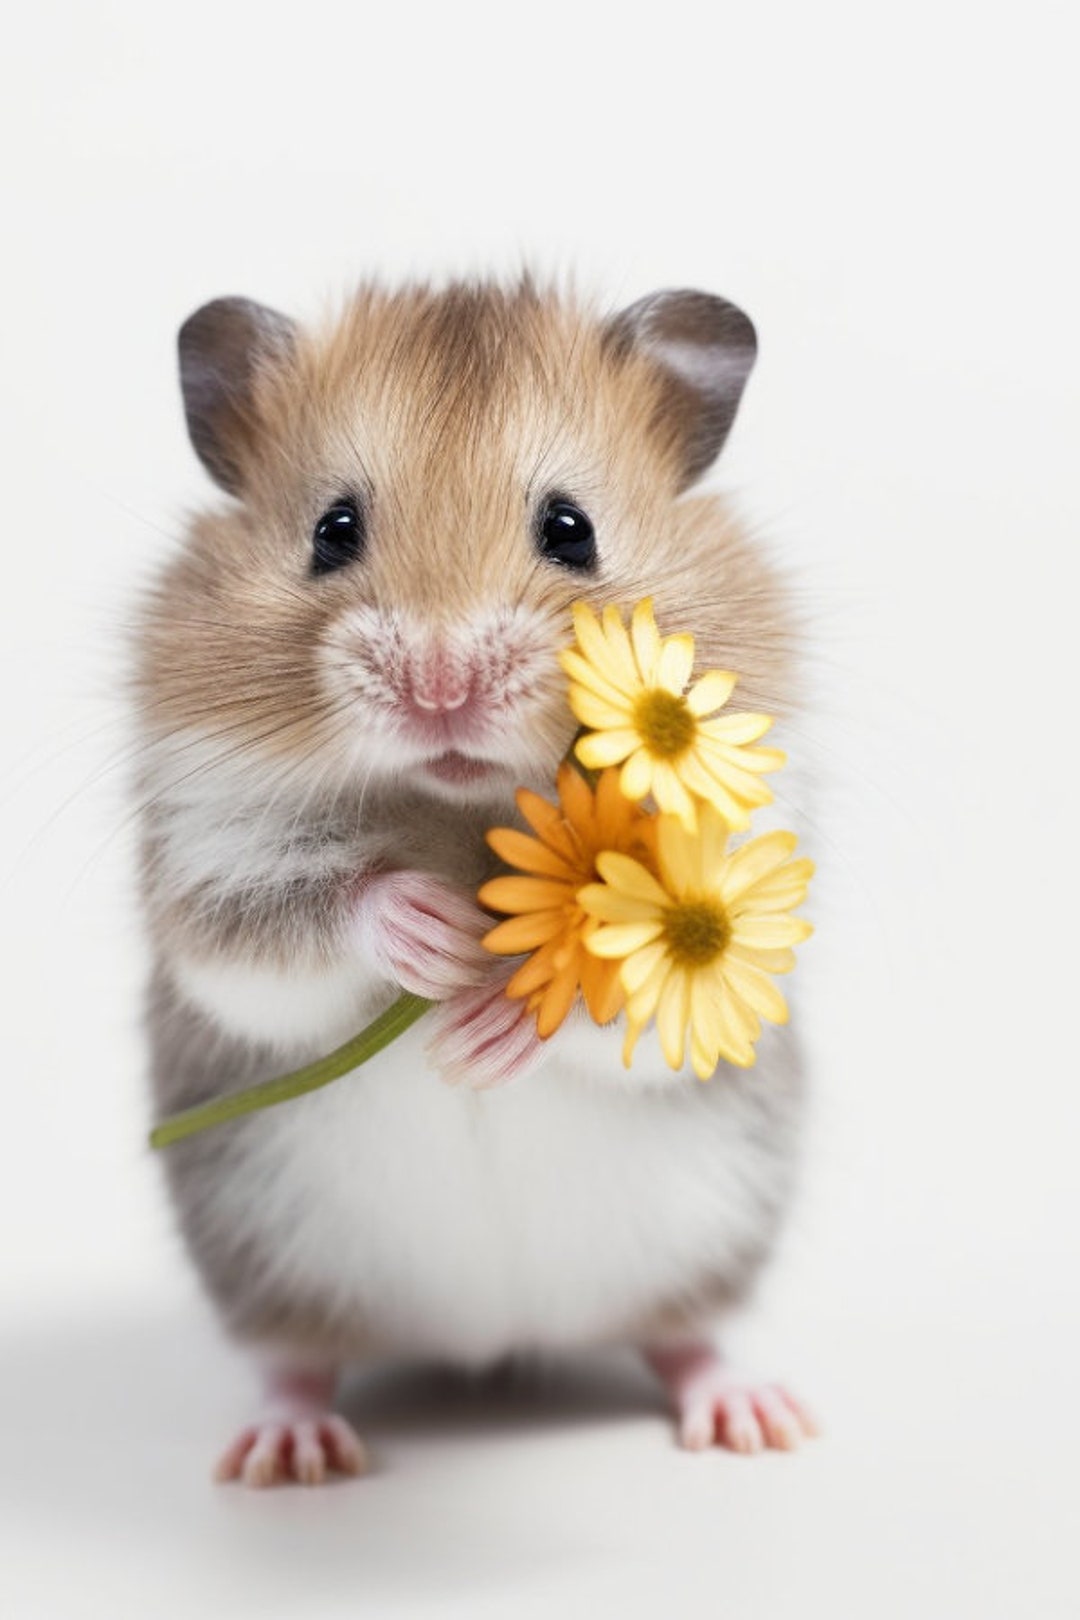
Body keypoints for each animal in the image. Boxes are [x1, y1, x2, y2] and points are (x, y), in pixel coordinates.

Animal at [134, 278, 817, 1486]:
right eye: (332, 530)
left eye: (571, 529)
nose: (440, 686)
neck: (459, 812)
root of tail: (488, 1342)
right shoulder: (209, 865)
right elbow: (287, 934)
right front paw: (433, 931)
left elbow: (609, 1005)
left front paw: (481, 1025)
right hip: (268, 1267)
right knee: (298, 1359)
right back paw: (289, 1454)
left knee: (683, 1334)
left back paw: (751, 1418)